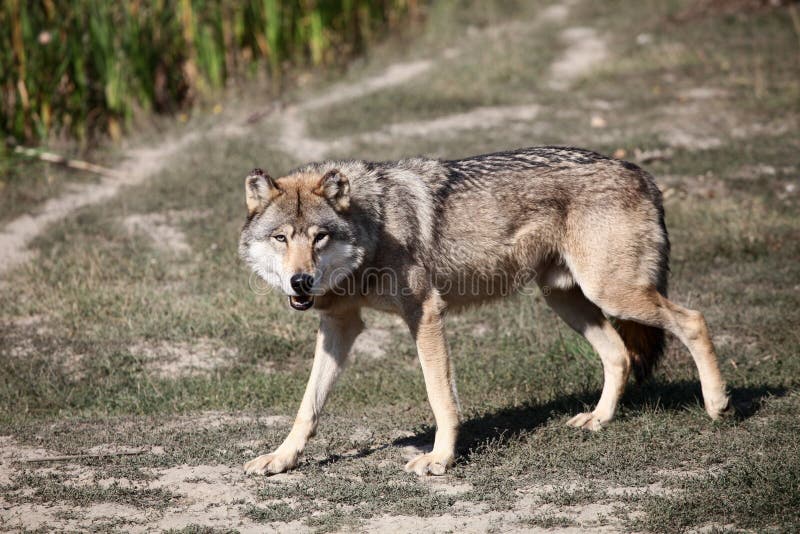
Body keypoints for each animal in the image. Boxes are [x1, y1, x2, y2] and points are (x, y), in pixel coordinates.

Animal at [238, 146, 730, 476]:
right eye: (281, 238)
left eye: (319, 237)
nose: (301, 282)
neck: (373, 224)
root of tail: (642, 172)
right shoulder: (339, 325)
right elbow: (307, 405)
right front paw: (281, 459)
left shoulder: (425, 314)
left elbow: (440, 397)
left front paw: (439, 459)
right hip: (566, 299)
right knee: (619, 355)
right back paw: (599, 419)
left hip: (612, 294)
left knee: (694, 320)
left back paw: (717, 404)